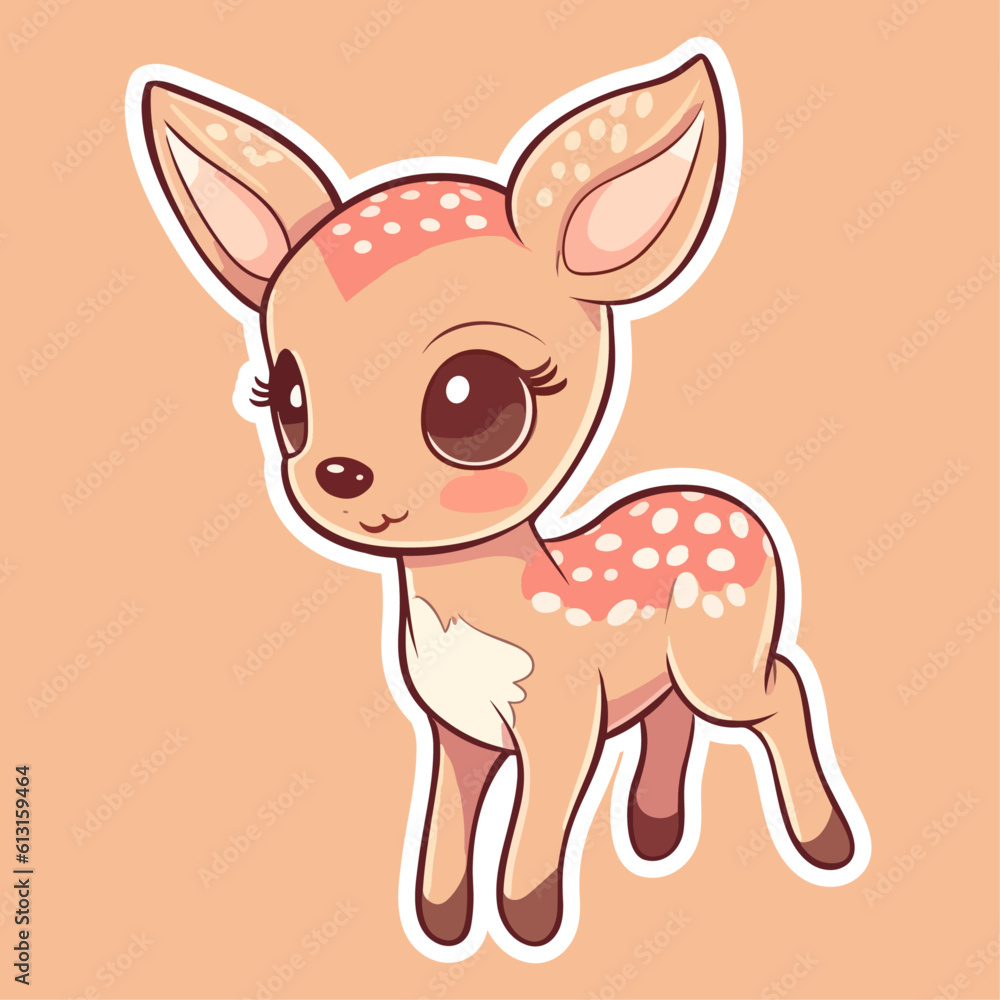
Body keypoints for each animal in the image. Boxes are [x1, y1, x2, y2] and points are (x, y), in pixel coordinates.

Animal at [127, 40, 868, 962]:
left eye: (475, 400)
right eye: (287, 398)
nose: (340, 474)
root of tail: (729, 505)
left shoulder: (560, 724)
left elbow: (530, 840)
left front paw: (528, 925)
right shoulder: (457, 734)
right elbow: (447, 835)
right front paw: (443, 926)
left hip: (720, 658)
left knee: (783, 689)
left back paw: (824, 842)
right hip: (671, 672)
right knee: (672, 714)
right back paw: (654, 834)